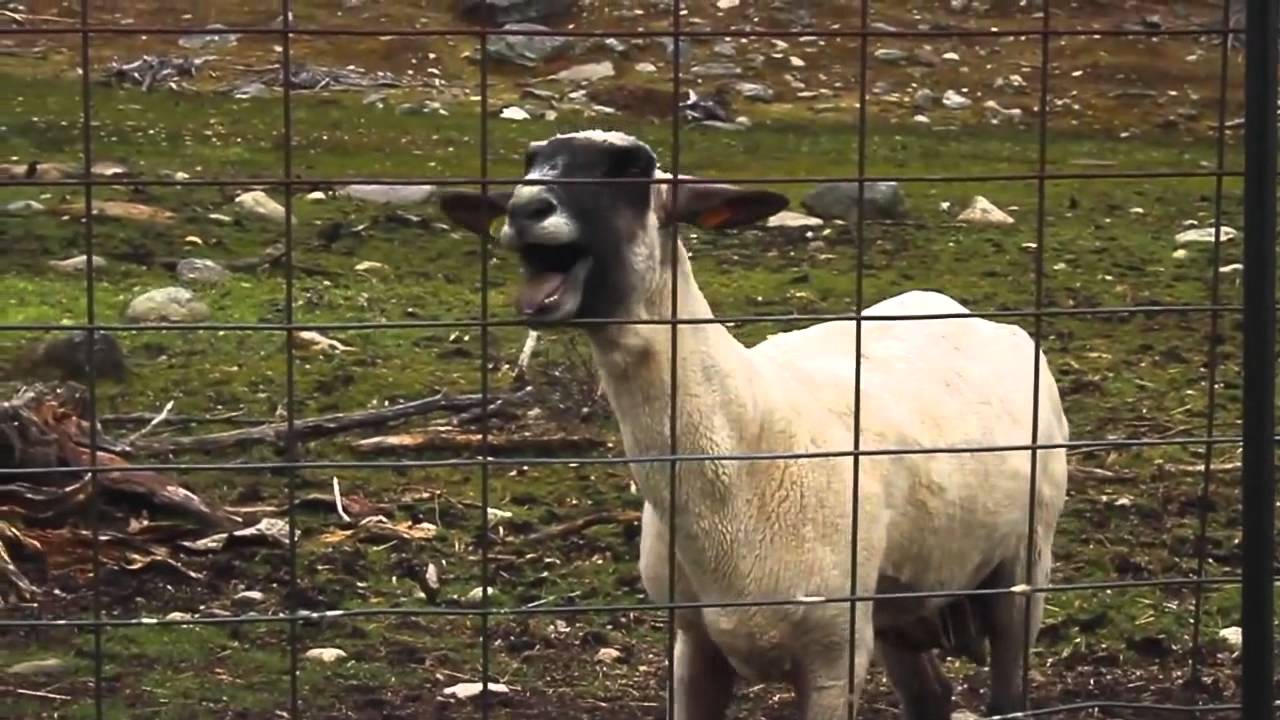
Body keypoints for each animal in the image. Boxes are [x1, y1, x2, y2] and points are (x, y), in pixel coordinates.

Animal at [437, 129, 1070, 720]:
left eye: (633, 168)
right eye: (530, 160)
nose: (526, 209)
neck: (744, 446)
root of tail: (968, 313)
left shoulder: (834, 655)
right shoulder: (695, 643)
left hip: (1024, 563)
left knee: (1010, 685)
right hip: (901, 594)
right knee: (930, 697)